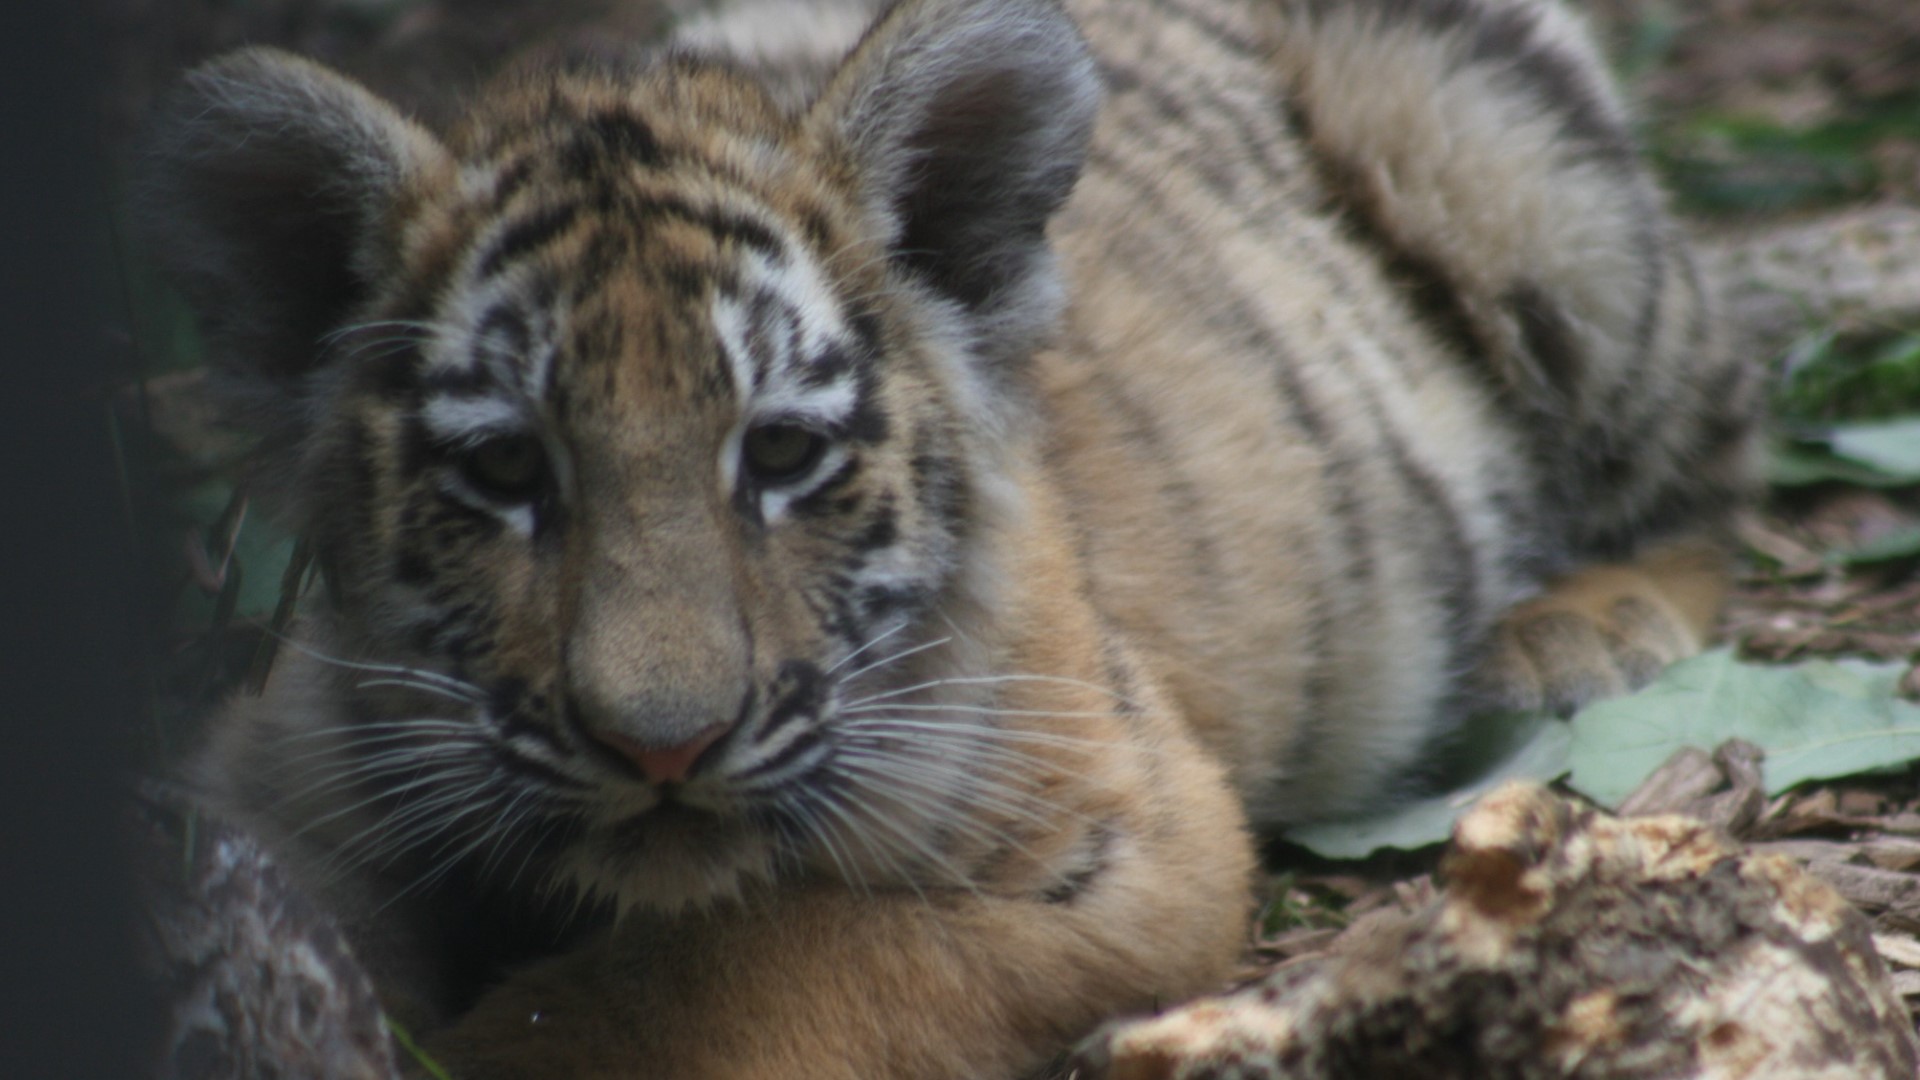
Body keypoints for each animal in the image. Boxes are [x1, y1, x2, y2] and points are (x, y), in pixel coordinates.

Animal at [138, 0, 1759, 1074]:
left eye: (782, 454)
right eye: (506, 469)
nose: (661, 746)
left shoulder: (1133, 825)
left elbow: (746, 959)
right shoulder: (274, 778)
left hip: (1529, 200)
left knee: (1718, 469)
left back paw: (1583, 630)